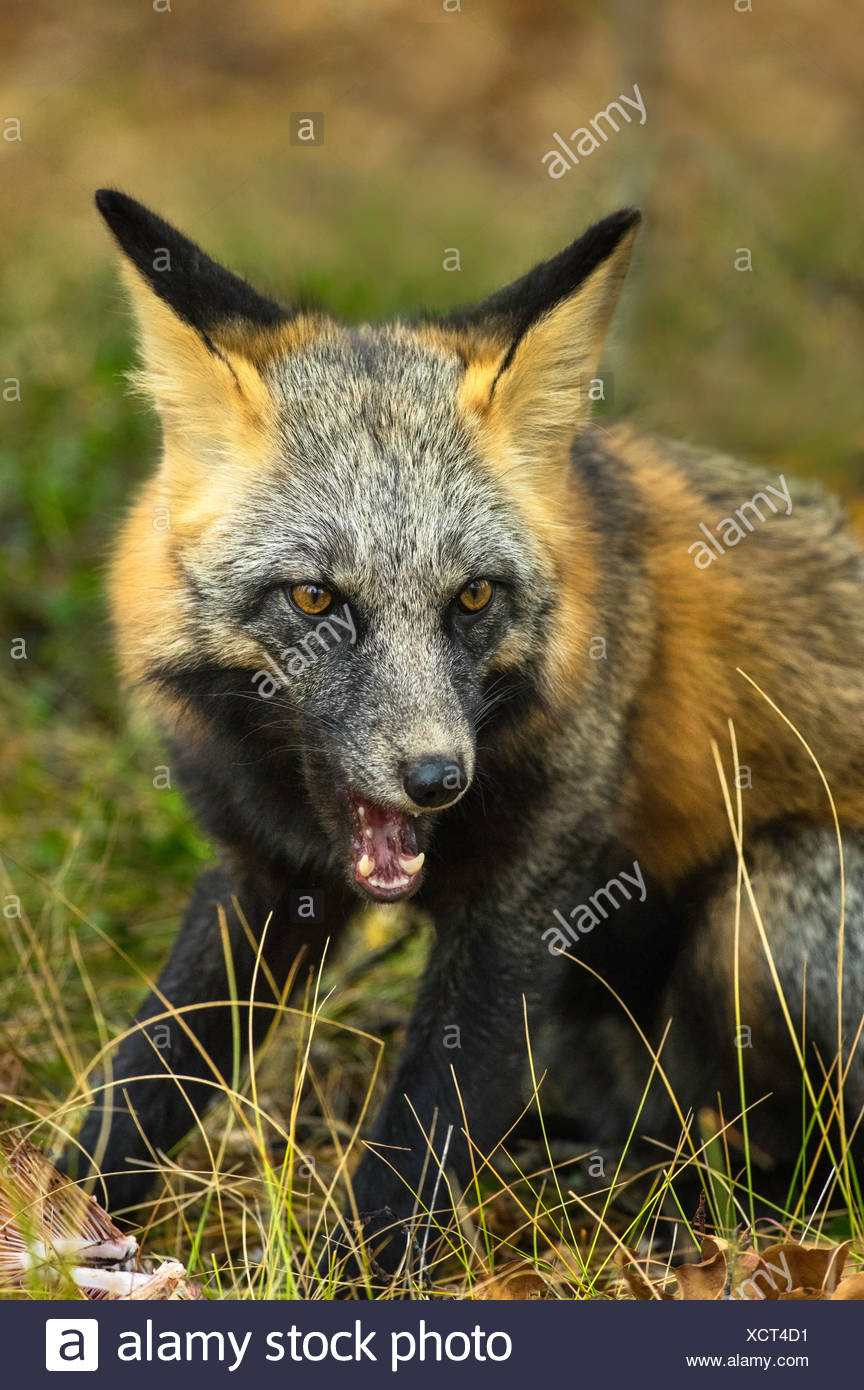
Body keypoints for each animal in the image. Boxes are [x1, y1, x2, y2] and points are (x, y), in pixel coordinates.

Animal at [70, 189, 864, 1275]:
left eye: (475, 597)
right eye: (315, 597)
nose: (438, 778)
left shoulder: (522, 909)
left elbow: (415, 1148)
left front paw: (349, 1286)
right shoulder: (267, 879)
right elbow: (146, 1074)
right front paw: (55, 1220)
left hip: (770, 906)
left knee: (791, 1162)